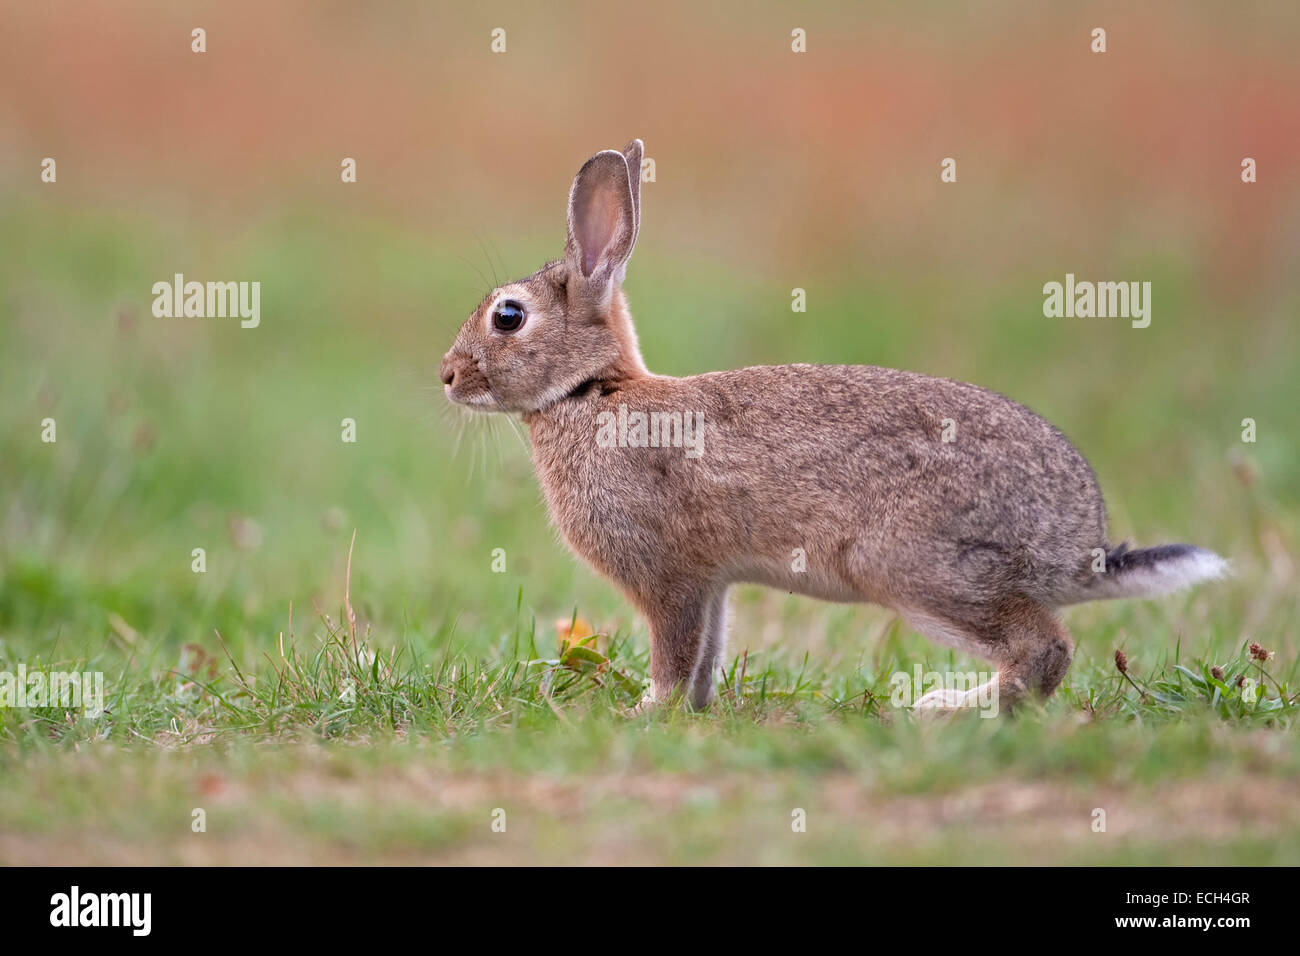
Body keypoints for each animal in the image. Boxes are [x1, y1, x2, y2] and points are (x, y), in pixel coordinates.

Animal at [441, 139, 1228, 713]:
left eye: (507, 316)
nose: (447, 375)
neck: (589, 392)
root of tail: (1078, 548)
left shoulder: (669, 574)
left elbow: (674, 648)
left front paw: (647, 711)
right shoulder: (713, 581)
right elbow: (707, 651)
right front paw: (692, 711)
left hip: (917, 566)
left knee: (1044, 652)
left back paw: (947, 709)